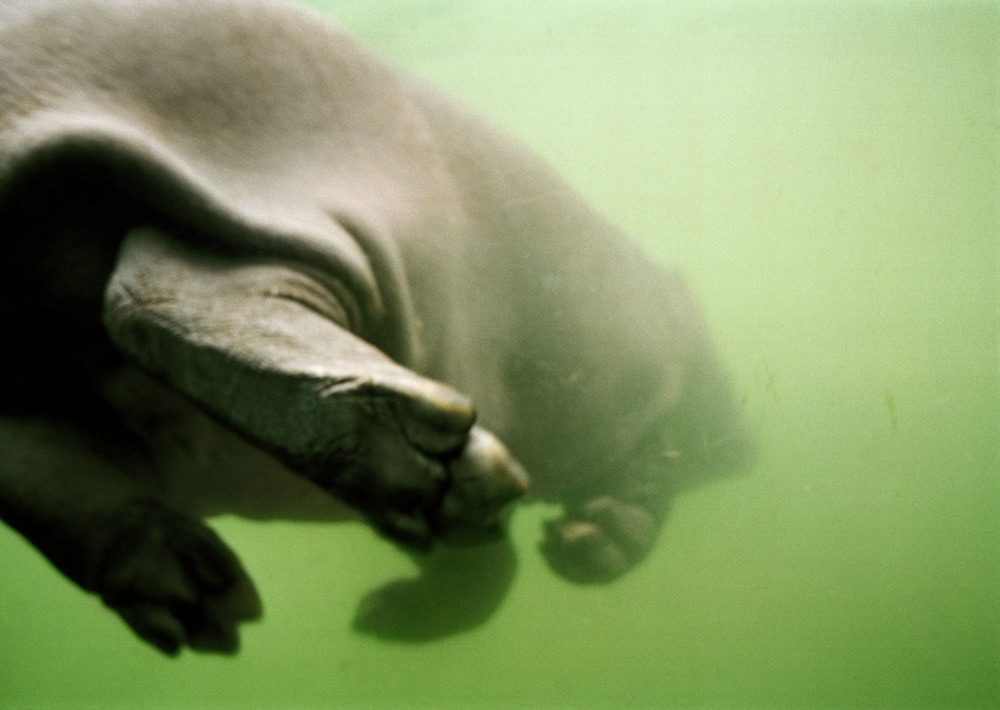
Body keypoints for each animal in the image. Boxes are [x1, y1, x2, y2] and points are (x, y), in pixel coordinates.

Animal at [0, 0, 751, 655]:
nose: (749, 443)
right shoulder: (657, 403)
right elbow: (635, 500)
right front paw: (573, 545)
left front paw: (389, 613)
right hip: (304, 184)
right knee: (162, 293)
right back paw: (446, 464)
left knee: (53, 460)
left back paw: (194, 595)